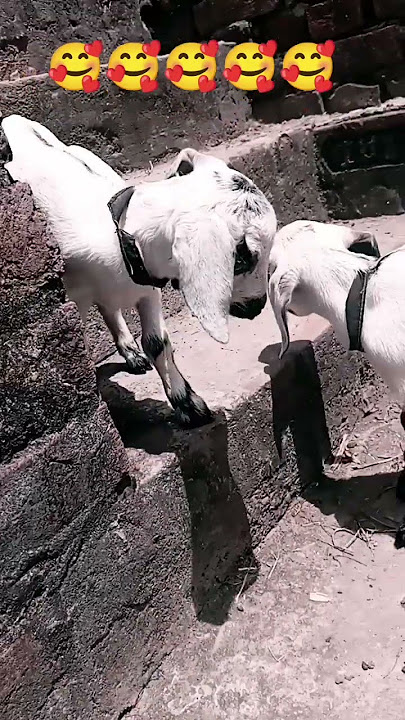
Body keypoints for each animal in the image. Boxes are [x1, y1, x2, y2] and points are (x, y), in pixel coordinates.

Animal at [2, 114, 277, 427]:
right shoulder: (74, 300)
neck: (118, 239)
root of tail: (14, 121)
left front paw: (187, 404)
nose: (258, 305)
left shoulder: (148, 289)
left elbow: (157, 343)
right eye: (243, 258)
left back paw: (131, 353)